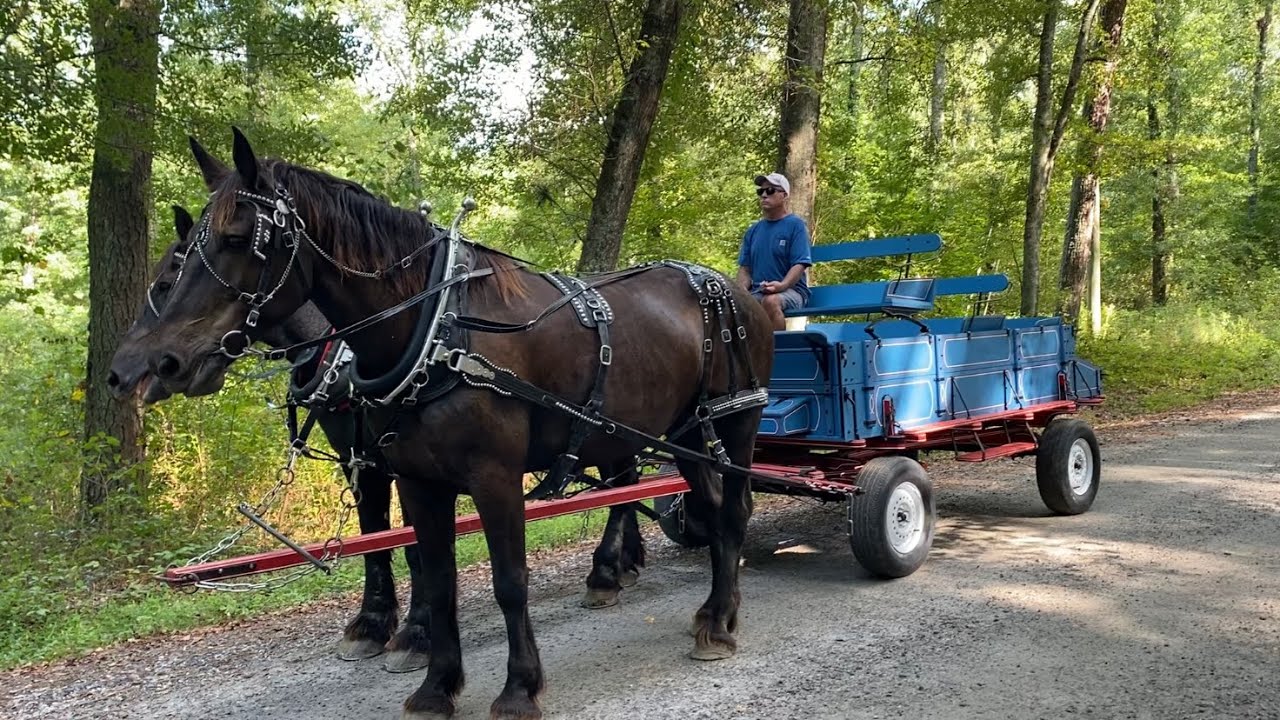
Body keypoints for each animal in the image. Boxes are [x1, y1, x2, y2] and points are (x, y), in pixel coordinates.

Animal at [119, 128, 773, 720]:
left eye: (238, 239)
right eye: (185, 255)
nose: (147, 366)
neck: (435, 329)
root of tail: (733, 289)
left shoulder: (493, 476)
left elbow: (509, 580)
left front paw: (518, 688)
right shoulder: (410, 476)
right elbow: (432, 574)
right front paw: (434, 683)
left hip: (732, 423)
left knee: (731, 511)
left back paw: (715, 619)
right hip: (679, 432)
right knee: (702, 505)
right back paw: (704, 608)